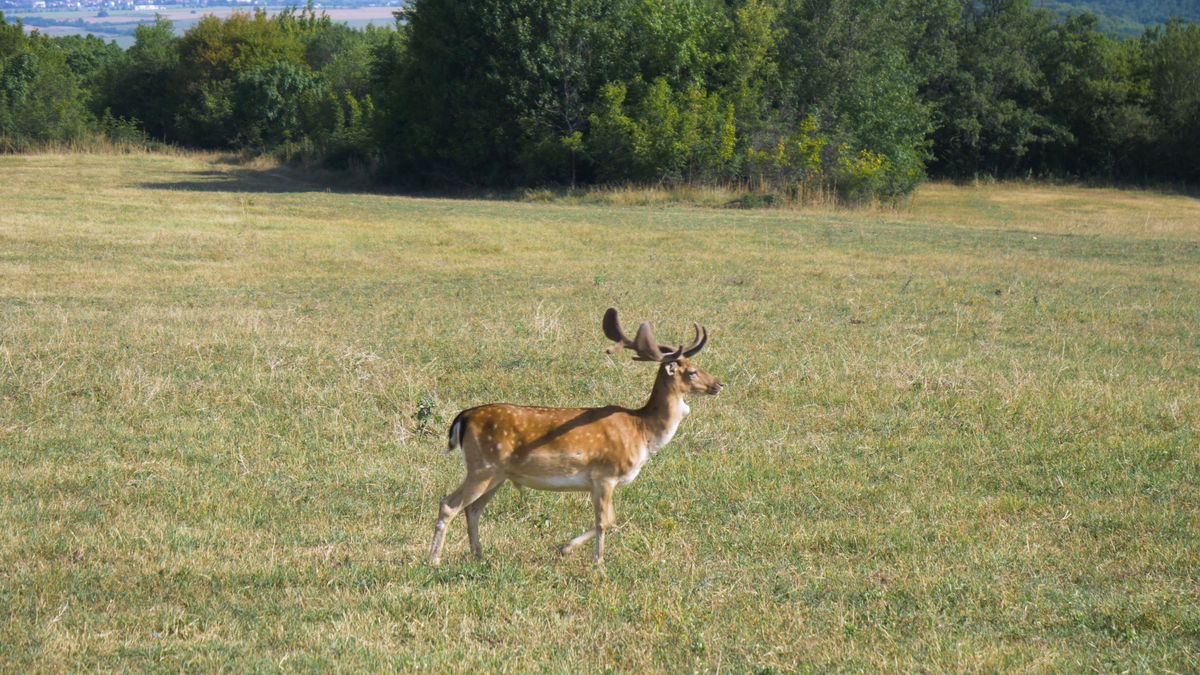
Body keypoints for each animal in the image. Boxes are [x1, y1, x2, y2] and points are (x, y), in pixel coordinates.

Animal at [427, 308, 724, 565]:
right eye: (692, 371)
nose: (719, 384)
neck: (642, 431)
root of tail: (463, 417)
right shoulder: (605, 475)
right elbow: (605, 521)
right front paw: (596, 561)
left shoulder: (599, 482)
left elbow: (611, 520)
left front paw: (566, 548)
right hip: (482, 466)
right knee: (449, 504)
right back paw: (434, 560)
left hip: (497, 474)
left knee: (473, 509)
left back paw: (479, 556)